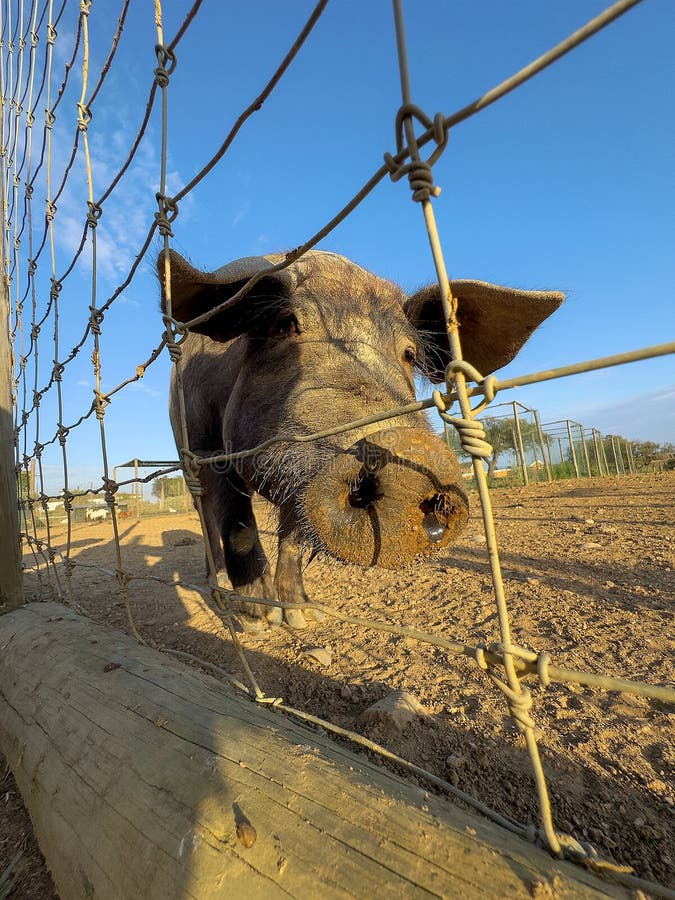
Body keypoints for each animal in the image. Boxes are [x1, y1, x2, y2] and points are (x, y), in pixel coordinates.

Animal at [159, 249, 562, 630]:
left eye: (409, 354)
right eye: (285, 324)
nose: (406, 454)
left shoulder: (300, 482)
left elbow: (293, 539)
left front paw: (305, 617)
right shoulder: (207, 447)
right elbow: (237, 525)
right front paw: (259, 621)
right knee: (207, 519)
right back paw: (217, 592)